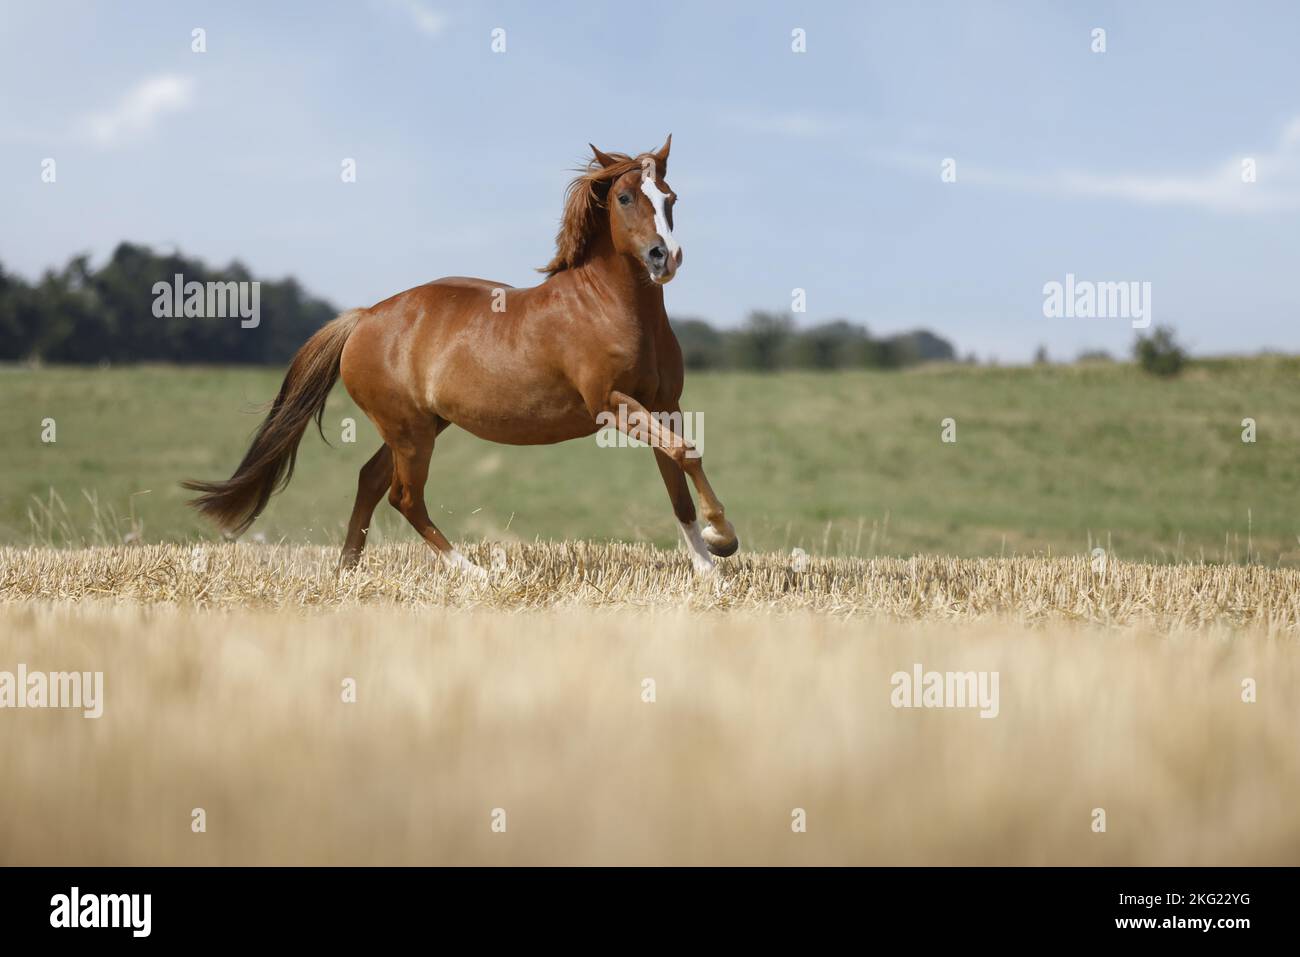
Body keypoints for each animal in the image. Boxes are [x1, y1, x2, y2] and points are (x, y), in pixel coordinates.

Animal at [183, 136, 739, 579]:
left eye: (670, 198)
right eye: (624, 197)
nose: (664, 258)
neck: (610, 308)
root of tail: (363, 318)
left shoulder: (664, 404)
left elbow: (678, 476)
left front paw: (711, 565)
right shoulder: (611, 403)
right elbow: (685, 454)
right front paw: (723, 538)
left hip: (419, 426)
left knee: (370, 481)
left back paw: (348, 571)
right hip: (411, 432)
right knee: (403, 497)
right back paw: (473, 572)